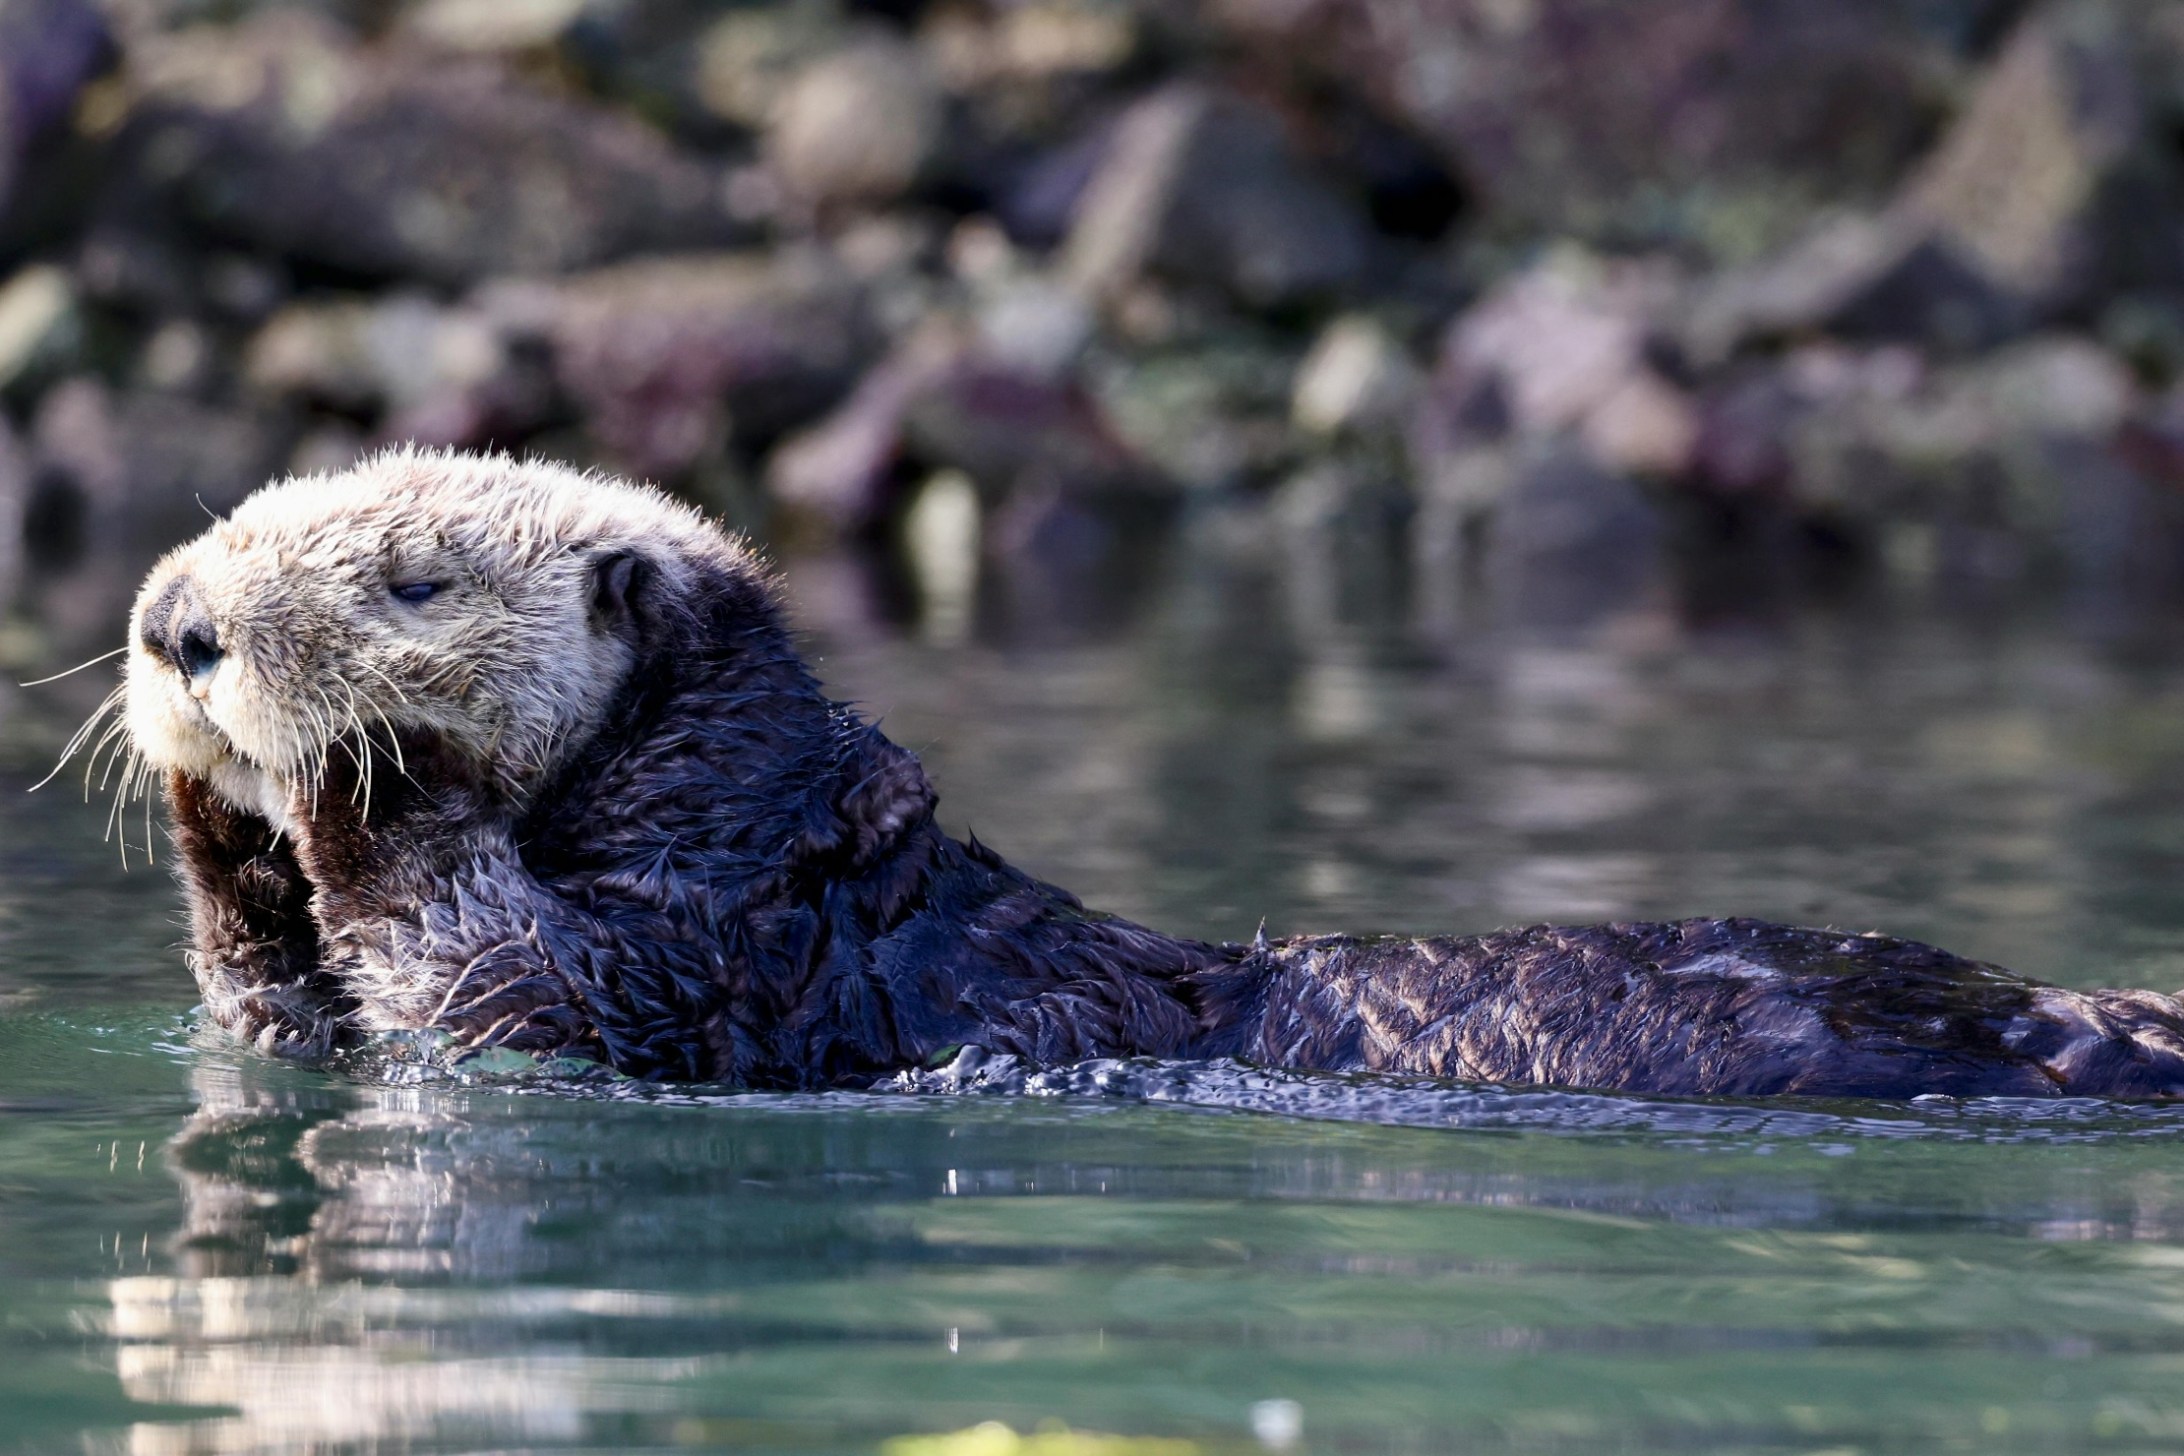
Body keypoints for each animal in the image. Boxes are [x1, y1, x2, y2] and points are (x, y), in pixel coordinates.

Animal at [97, 449, 2184, 1098]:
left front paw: (359, 778)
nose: (178, 621)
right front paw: (216, 818)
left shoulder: (718, 963)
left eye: (414, 577)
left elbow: (493, 970)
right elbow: (283, 1000)